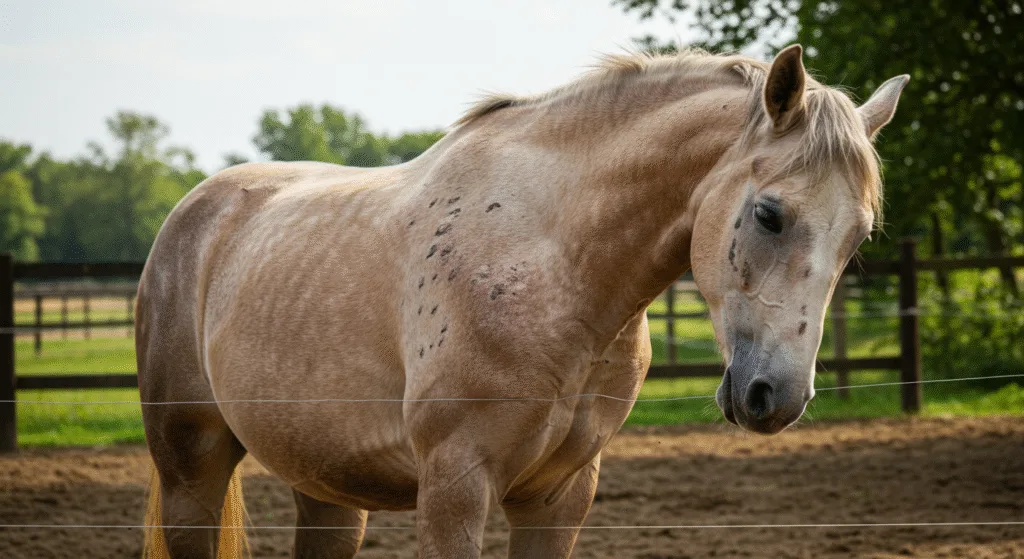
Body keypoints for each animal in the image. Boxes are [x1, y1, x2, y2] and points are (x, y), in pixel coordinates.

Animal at [137, 44, 907, 558]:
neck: (550, 264)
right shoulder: (455, 489)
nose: (776, 396)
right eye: (771, 214)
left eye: (860, 235)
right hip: (190, 471)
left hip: (325, 489)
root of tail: (196, 211)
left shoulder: (558, 495)